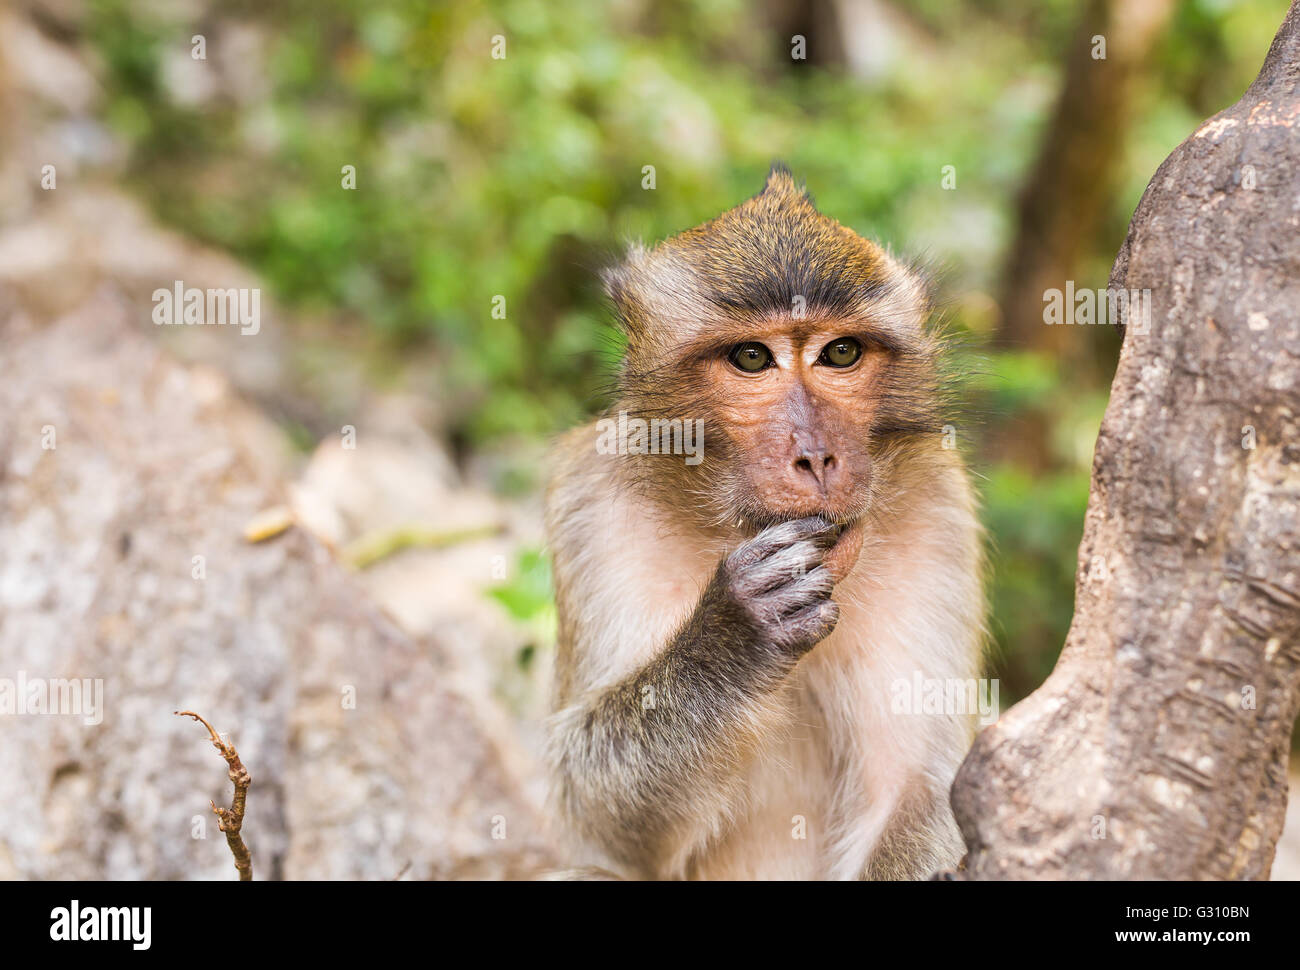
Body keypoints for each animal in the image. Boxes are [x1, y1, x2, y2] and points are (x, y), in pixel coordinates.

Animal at [543, 165, 985, 880]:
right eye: (752, 358)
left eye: (840, 352)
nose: (816, 455)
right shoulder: (592, 507)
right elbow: (593, 819)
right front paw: (737, 634)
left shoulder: (937, 503)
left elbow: (919, 788)